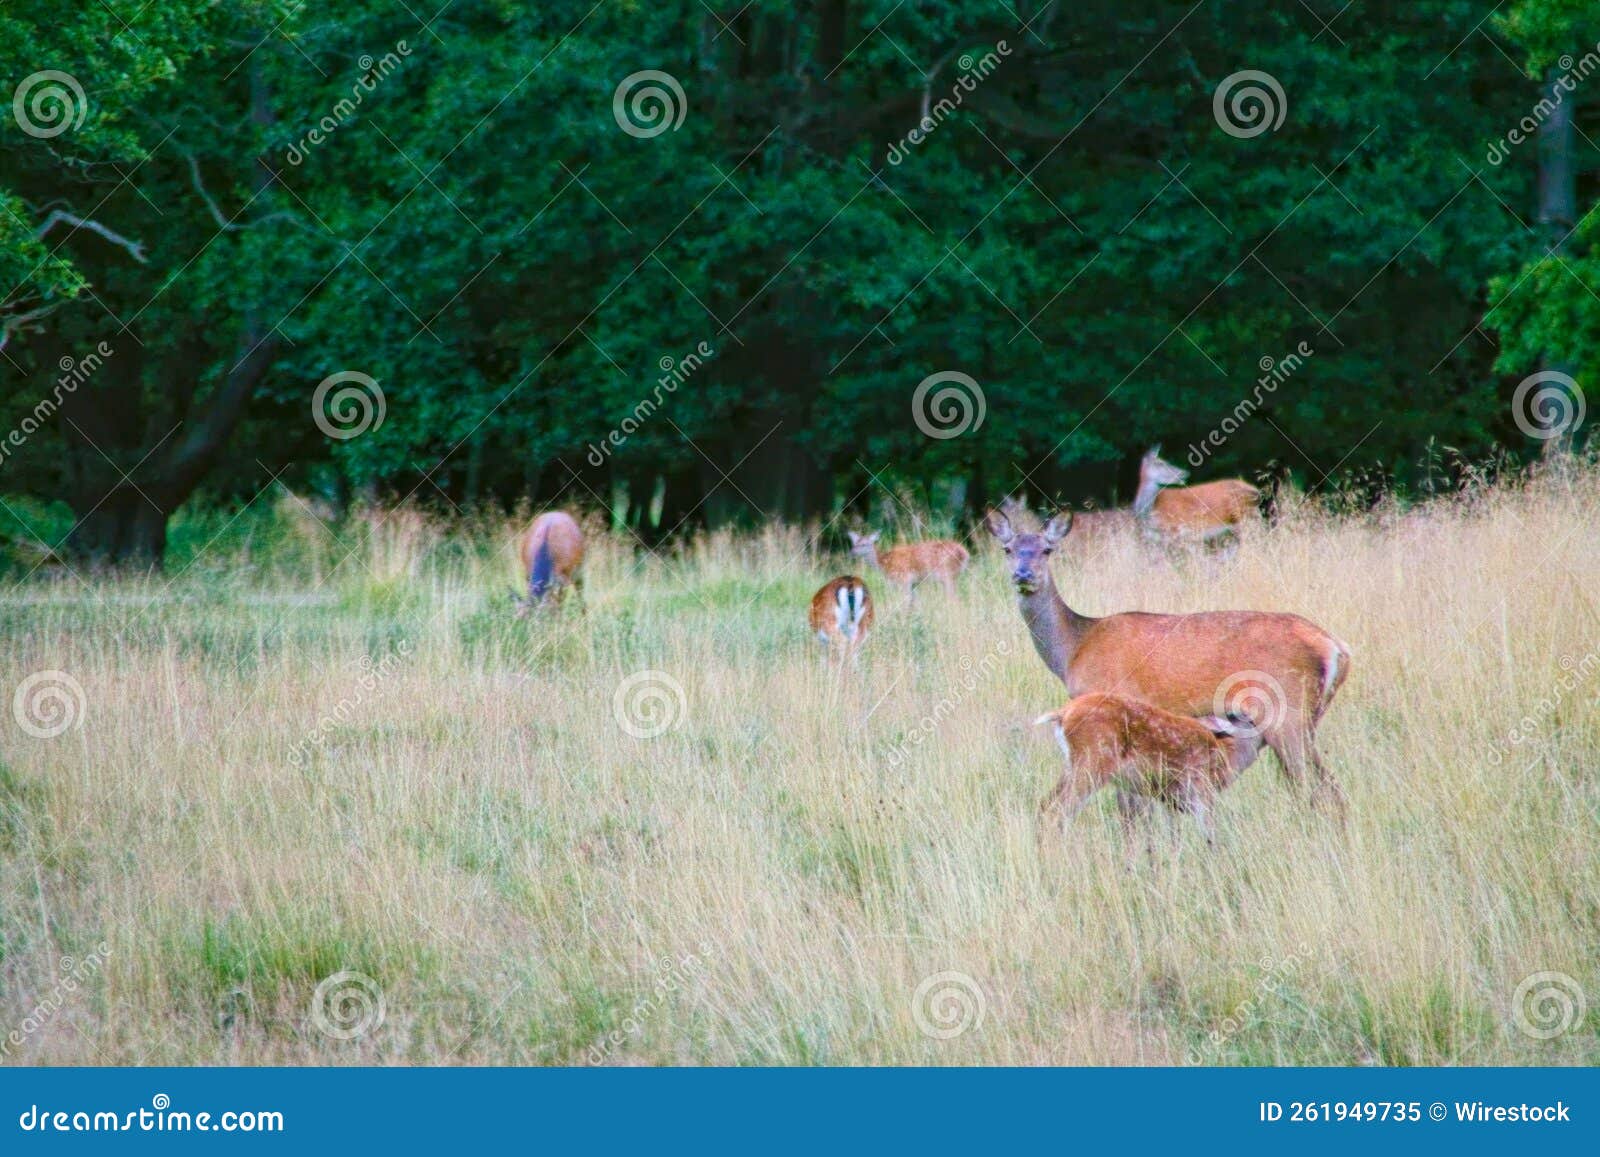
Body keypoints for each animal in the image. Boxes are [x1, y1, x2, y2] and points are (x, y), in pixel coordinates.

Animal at [985, 508, 1350, 820]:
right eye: (1007, 549)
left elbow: (1130, 807)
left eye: (1047, 550)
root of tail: (1335, 648)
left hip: (1288, 714)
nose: (1023, 574)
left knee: (1323, 790)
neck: (1074, 649)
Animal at [1033, 692, 1267, 848]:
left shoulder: (1169, 800)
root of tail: (1063, 714)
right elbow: (1209, 834)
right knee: (1058, 812)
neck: (1224, 757)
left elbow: (1174, 840)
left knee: (1044, 805)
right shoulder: (1200, 789)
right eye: (1249, 719)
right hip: (1093, 762)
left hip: (1071, 765)